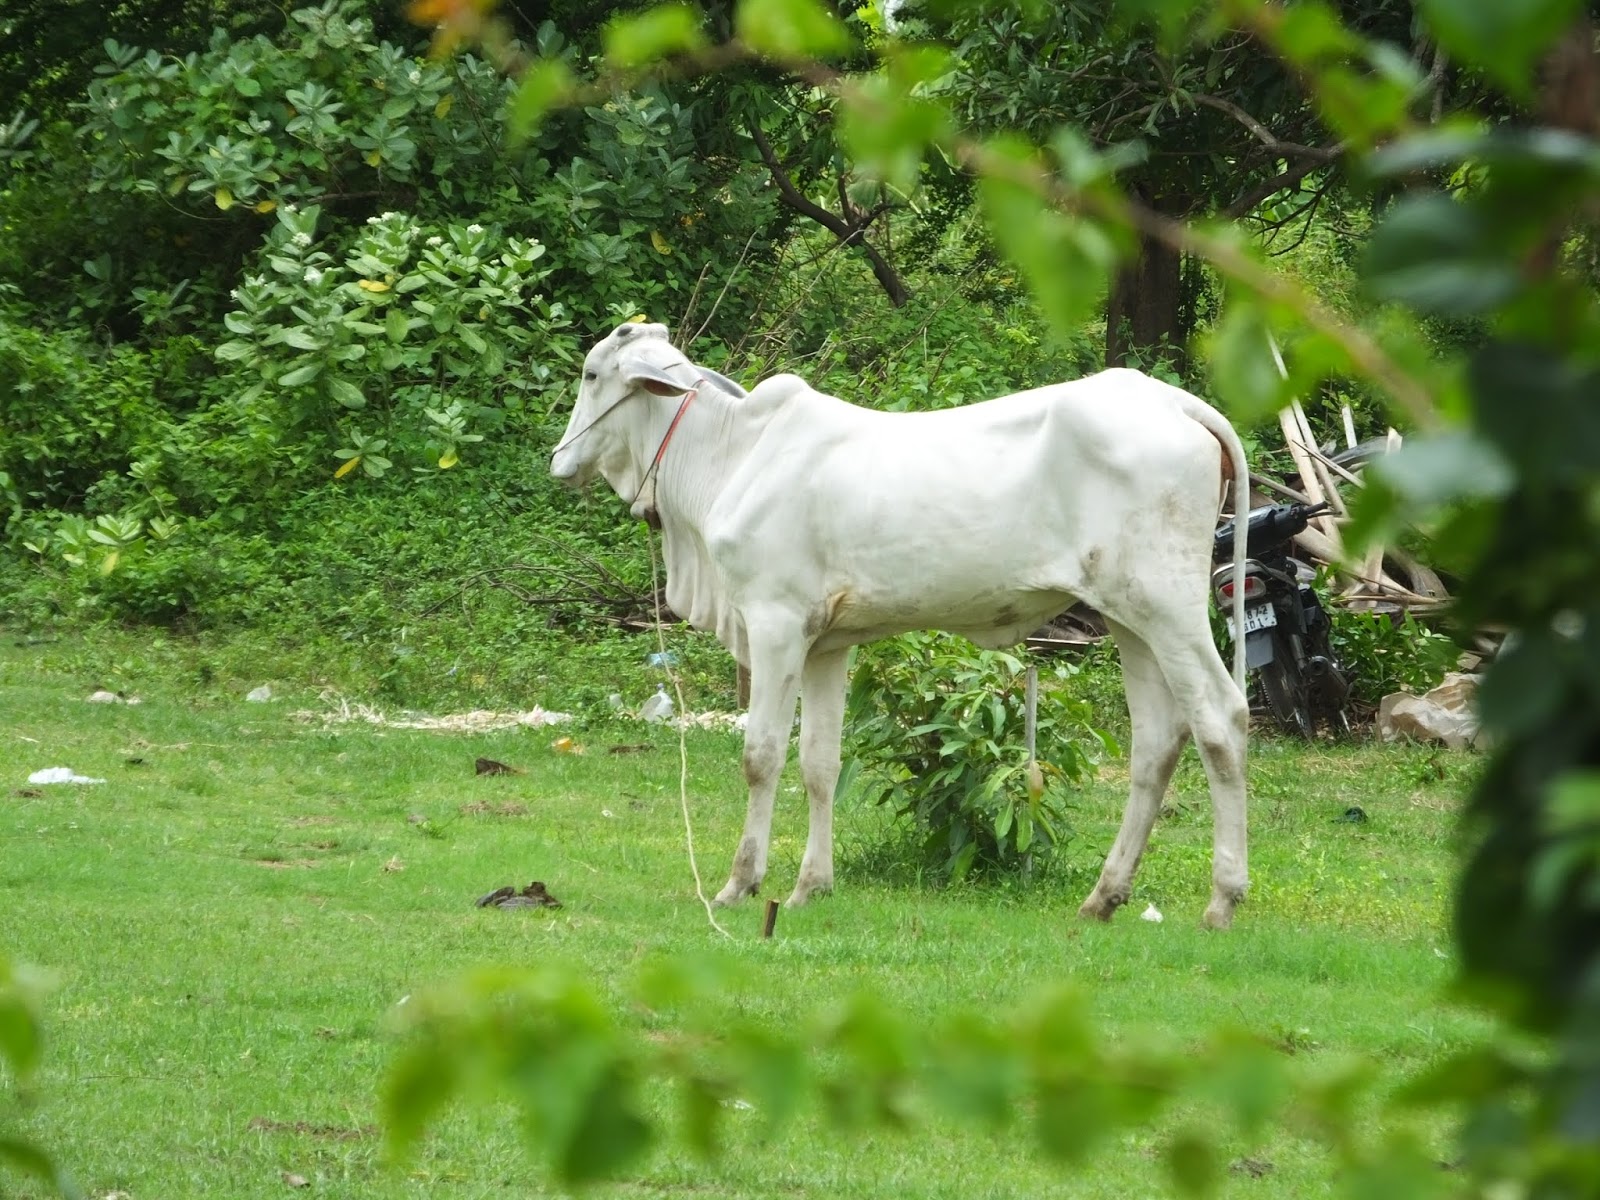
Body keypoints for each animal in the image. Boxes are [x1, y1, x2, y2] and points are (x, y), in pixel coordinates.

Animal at [550, 321, 1251, 929]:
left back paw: (1222, 900)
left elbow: (762, 756)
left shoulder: (775, 624)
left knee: (1221, 719)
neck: (731, 454)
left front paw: (740, 883)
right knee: (1156, 742)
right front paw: (811, 885)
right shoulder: (825, 645)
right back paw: (1104, 896)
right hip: (1129, 618)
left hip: (1169, 606)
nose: (559, 461)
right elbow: (820, 761)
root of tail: (1179, 404)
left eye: (590, 373)